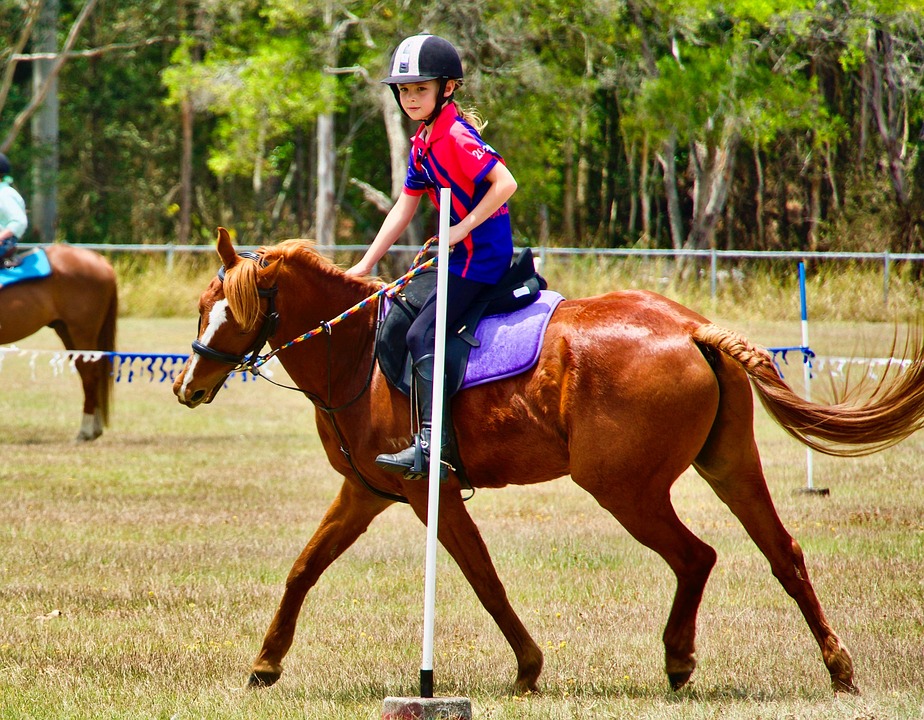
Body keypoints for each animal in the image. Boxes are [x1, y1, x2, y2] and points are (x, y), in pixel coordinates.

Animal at [174, 227, 924, 696]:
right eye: (204, 305)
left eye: (233, 310)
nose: (187, 387)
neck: (357, 353)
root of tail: (691, 328)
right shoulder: (365, 493)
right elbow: (303, 569)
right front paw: (265, 664)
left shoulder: (425, 493)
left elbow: (484, 580)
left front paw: (528, 667)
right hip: (729, 467)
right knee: (782, 554)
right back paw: (837, 668)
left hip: (624, 487)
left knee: (696, 557)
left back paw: (679, 656)